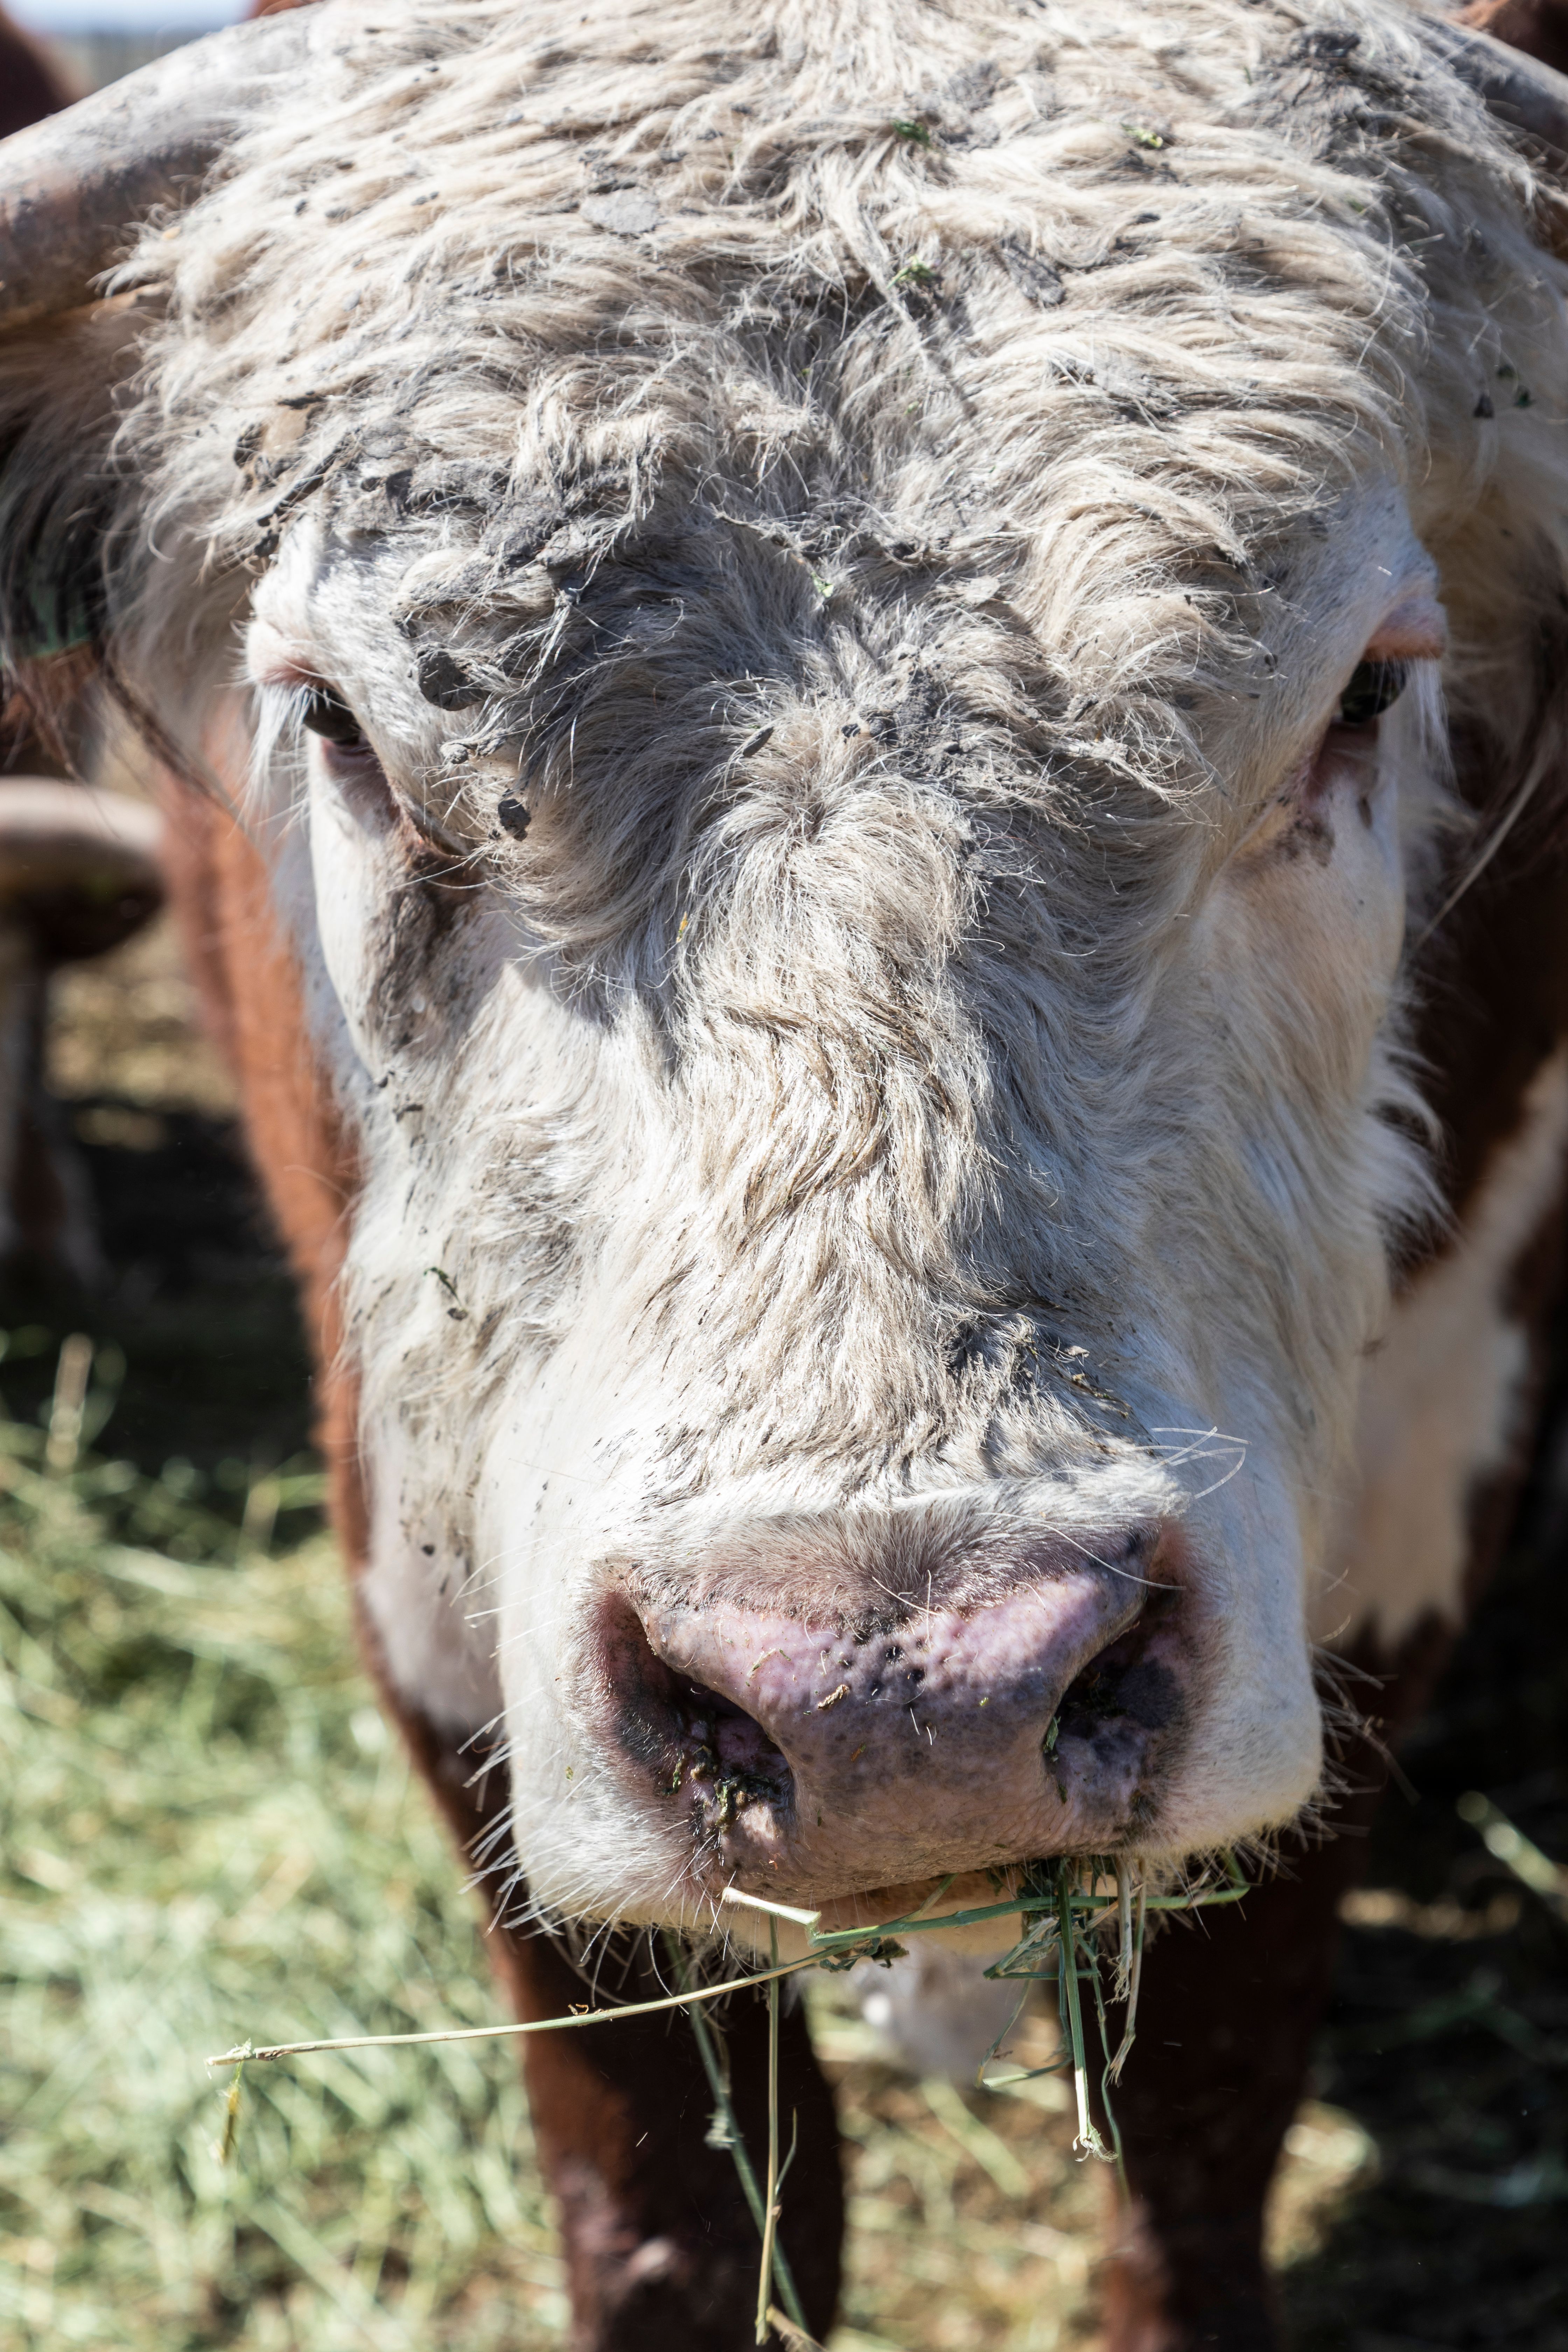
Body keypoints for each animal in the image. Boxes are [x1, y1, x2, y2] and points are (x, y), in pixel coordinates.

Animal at [3, 2, 1567, 2342]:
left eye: (1367, 693)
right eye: (343, 724)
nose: (907, 1699)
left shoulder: (1408, 1487)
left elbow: (1197, 2127)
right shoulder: (435, 1568)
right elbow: (676, 2191)